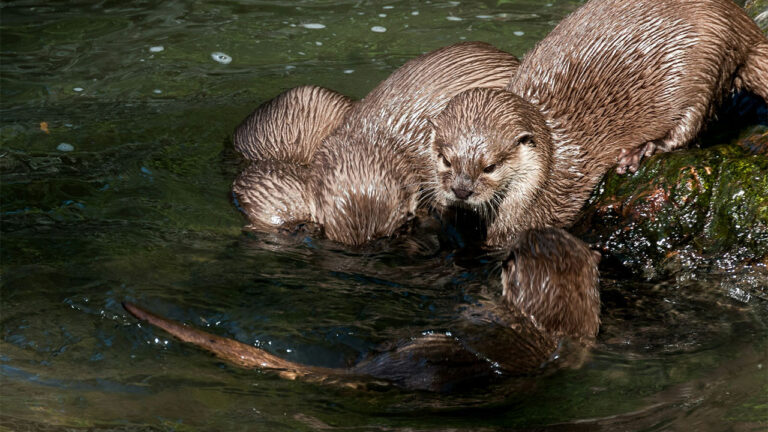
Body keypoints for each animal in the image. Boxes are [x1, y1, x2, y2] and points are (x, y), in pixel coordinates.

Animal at [429, 0, 768, 247]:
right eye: (445, 160)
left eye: (490, 167)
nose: (461, 190)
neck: (551, 168)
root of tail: (742, 25)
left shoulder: (539, 211)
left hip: (706, 65)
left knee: (691, 124)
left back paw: (642, 150)